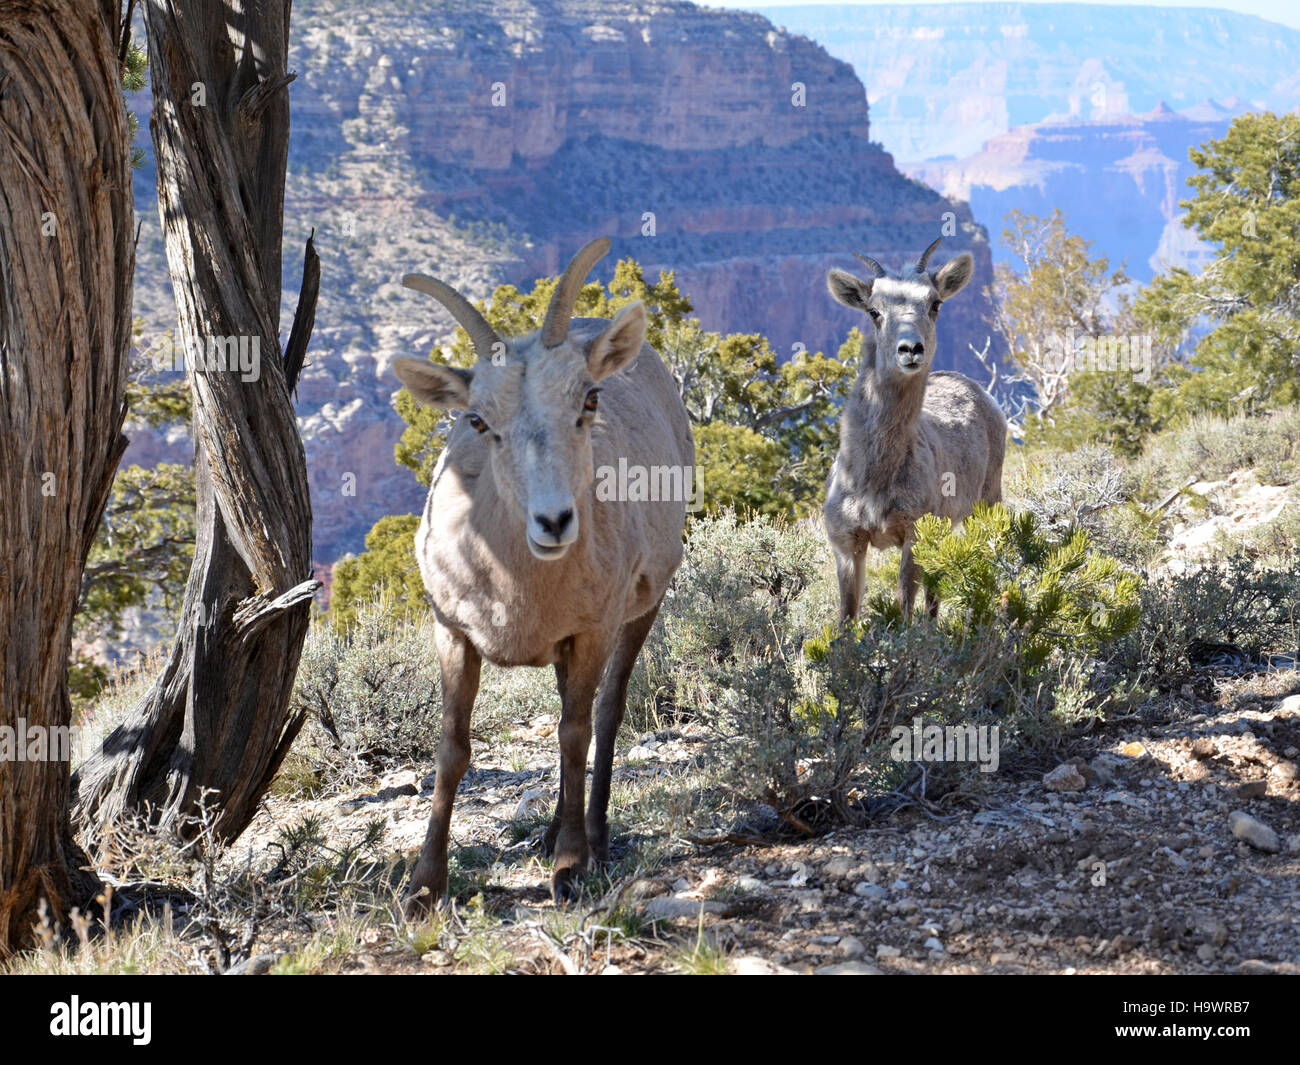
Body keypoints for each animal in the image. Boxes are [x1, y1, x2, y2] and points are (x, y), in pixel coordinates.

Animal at [390, 238, 694, 909]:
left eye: (589, 399)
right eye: (477, 420)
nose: (553, 522)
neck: (516, 588)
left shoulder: (592, 630)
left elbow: (576, 732)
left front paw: (571, 868)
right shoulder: (452, 632)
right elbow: (452, 749)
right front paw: (424, 887)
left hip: (644, 607)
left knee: (607, 711)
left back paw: (593, 834)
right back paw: (554, 827)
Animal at [823, 238, 1006, 622]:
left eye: (935, 303)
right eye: (873, 311)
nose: (910, 349)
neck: (871, 480)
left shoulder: (915, 531)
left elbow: (904, 608)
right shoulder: (845, 542)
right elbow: (848, 615)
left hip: (987, 501)